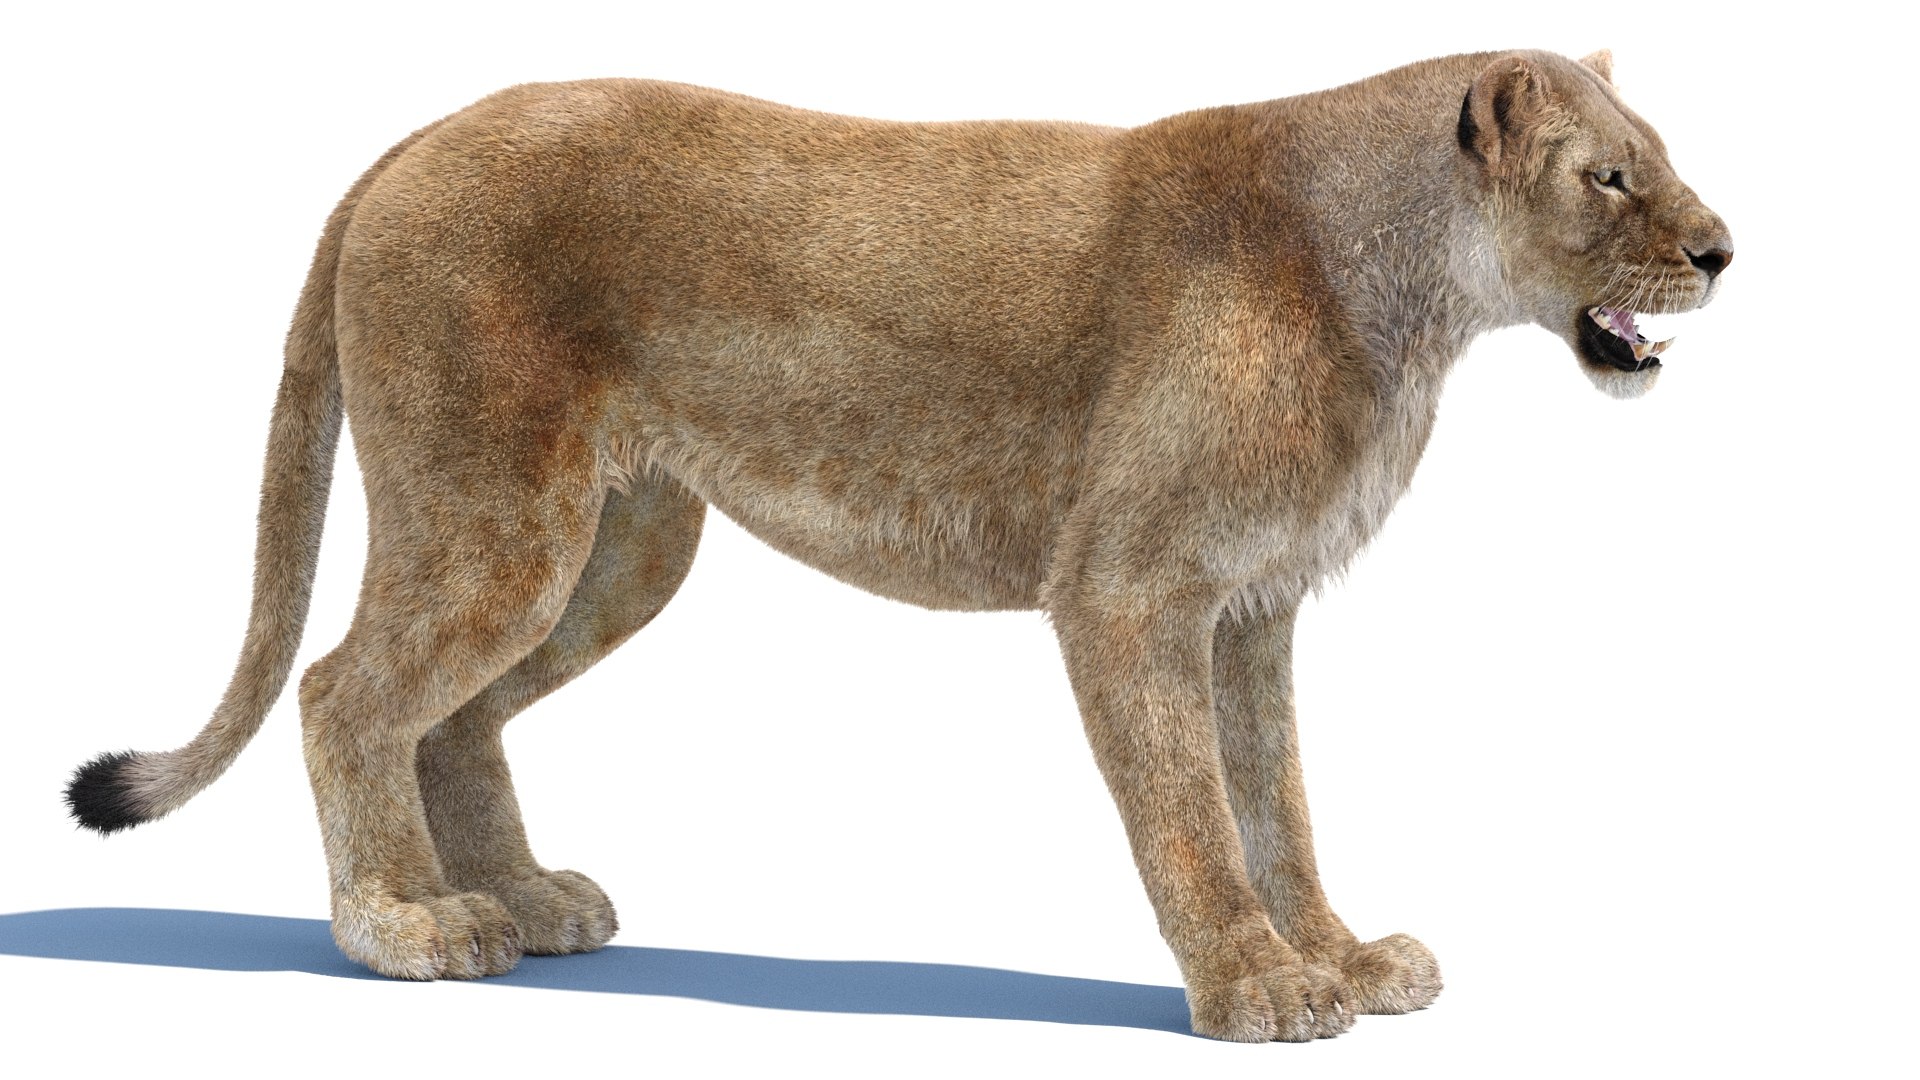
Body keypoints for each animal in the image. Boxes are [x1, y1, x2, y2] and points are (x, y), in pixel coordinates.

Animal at [65, 48, 1730, 1041]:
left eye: (1656, 156)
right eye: (1609, 175)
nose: (1721, 251)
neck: (1409, 299)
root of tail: (406, 144)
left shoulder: (1254, 601)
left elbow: (1279, 801)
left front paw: (1343, 956)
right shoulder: (1126, 589)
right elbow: (1193, 811)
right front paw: (1259, 983)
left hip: (615, 547)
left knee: (452, 716)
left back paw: (529, 905)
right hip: (495, 521)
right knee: (346, 692)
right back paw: (410, 925)